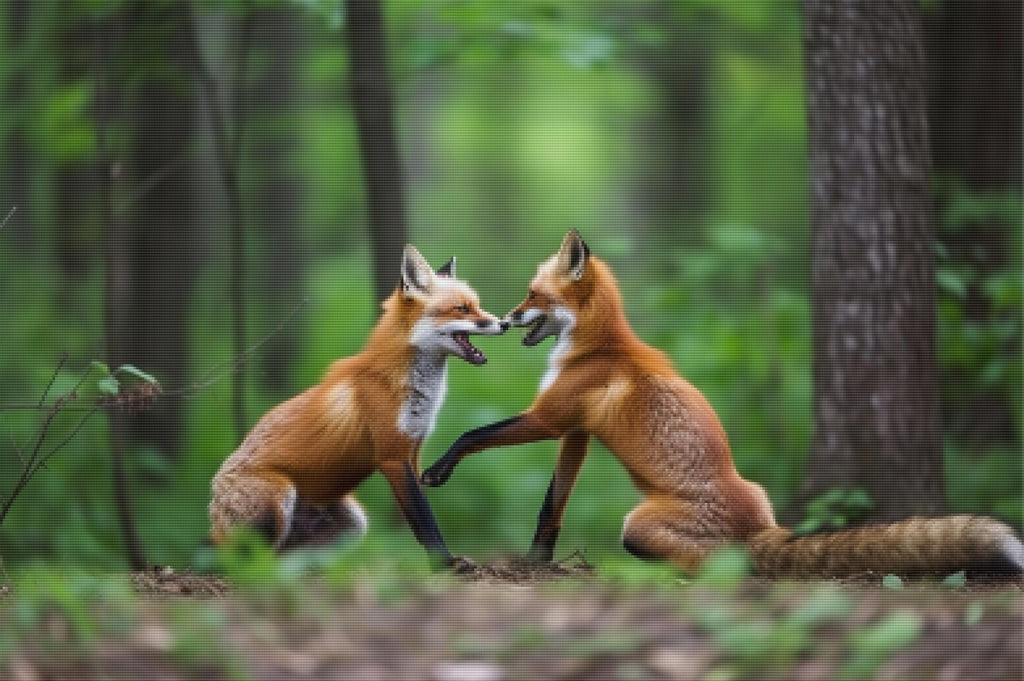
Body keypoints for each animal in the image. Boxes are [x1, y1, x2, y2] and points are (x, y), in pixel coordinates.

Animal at [210, 245, 507, 568]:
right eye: (462, 309)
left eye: (476, 305)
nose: (505, 323)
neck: (407, 386)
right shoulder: (392, 455)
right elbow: (424, 519)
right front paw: (443, 565)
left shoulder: (413, 451)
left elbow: (420, 516)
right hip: (279, 497)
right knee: (242, 562)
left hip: (352, 522)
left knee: (289, 562)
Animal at [422, 230, 1024, 578]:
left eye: (533, 296)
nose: (504, 319)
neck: (599, 347)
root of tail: (756, 526)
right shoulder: (576, 431)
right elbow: (552, 506)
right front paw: (536, 564)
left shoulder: (550, 418)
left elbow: (474, 436)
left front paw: (438, 469)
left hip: (639, 526)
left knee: (731, 563)